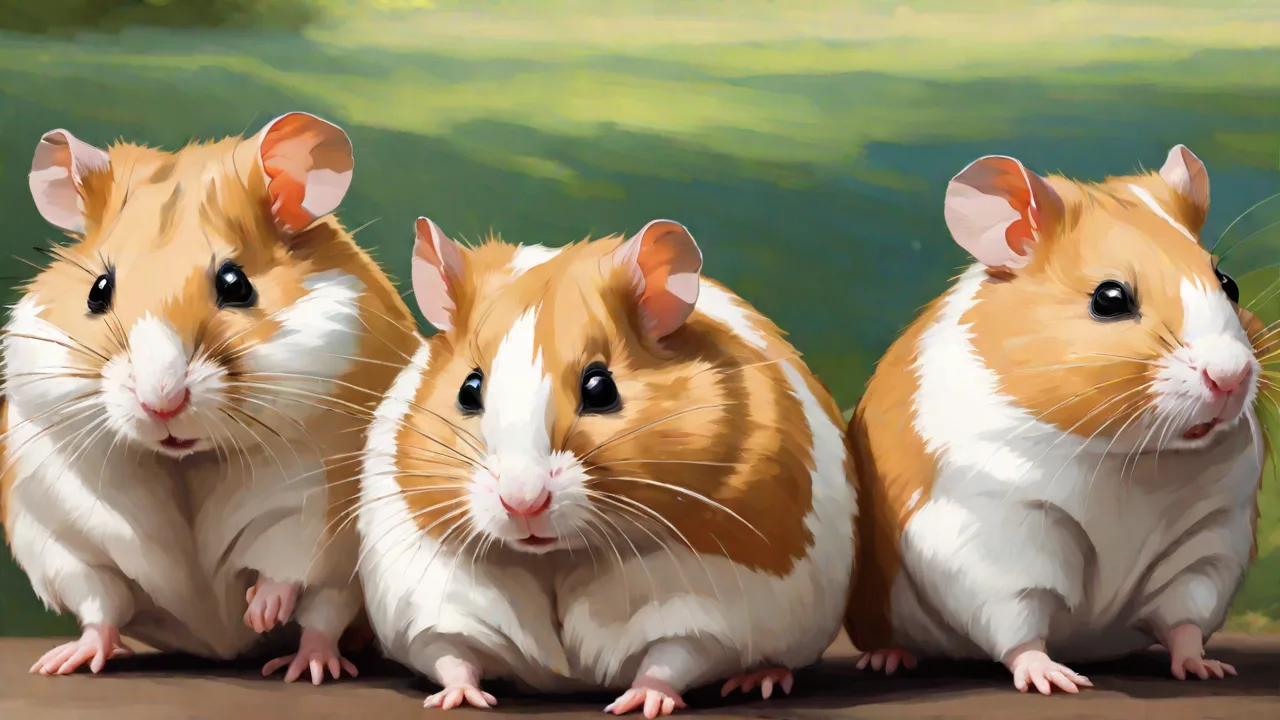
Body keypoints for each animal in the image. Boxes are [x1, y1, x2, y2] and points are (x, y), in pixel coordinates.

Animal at [1, 112, 419, 682]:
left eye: (235, 284)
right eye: (98, 290)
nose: (161, 403)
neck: (189, 462)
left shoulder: (314, 512)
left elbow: (286, 567)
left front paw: (260, 614)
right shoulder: (64, 540)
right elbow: (100, 603)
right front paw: (62, 663)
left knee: (324, 619)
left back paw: (305, 666)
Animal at [355, 217, 856, 715]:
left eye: (600, 389)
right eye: (468, 389)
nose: (522, 504)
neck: (557, 557)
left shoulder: (708, 612)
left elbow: (673, 658)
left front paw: (640, 703)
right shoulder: (429, 607)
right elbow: (450, 654)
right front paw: (458, 700)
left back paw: (761, 681)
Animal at [845, 145, 1267, 694]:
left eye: (1228, 283)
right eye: (1110, 299)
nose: (1231, 376)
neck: (1132, 458)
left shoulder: (1208, 540)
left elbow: (1186, 621)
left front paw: (1206, 668)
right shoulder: (996, 534)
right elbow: (1019, 626)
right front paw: (1057, 679)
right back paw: (887, 659)